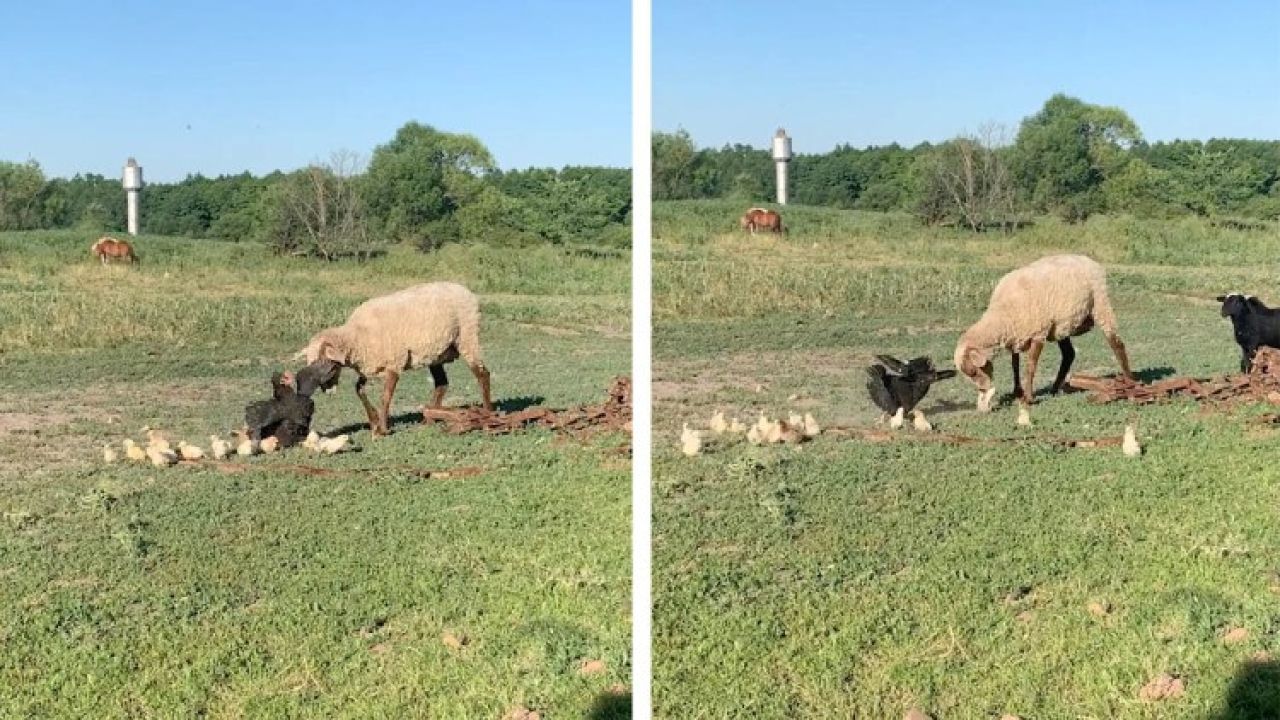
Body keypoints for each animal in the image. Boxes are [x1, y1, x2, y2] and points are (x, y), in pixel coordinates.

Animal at [297, 281, 493, 437]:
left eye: (326, 362)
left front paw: (383, 428)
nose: (326, 390)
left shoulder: (394, 363)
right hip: (436, 353)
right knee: (442, 383)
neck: (358, 336)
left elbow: (386, 396)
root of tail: (465, 290)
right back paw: (429, 419)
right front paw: (374, 422)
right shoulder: (369, 365)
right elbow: (359, 389)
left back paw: (487, 413)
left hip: (467, 336)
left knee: (483, 374)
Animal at [954, 254, 1134, 425]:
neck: (1002, 315)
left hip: (1100, 303)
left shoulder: (1038, 334)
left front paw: (1028, 398)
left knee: (1117, 344)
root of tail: (1089, 260)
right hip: (1062, 325)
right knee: (1069, 354)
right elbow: (1015, 366)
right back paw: (1054, 388)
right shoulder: (1016, 337)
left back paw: (1129, 381)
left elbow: (1030, 367)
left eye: (973, 372)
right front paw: (1017, 391)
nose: (983, 389)